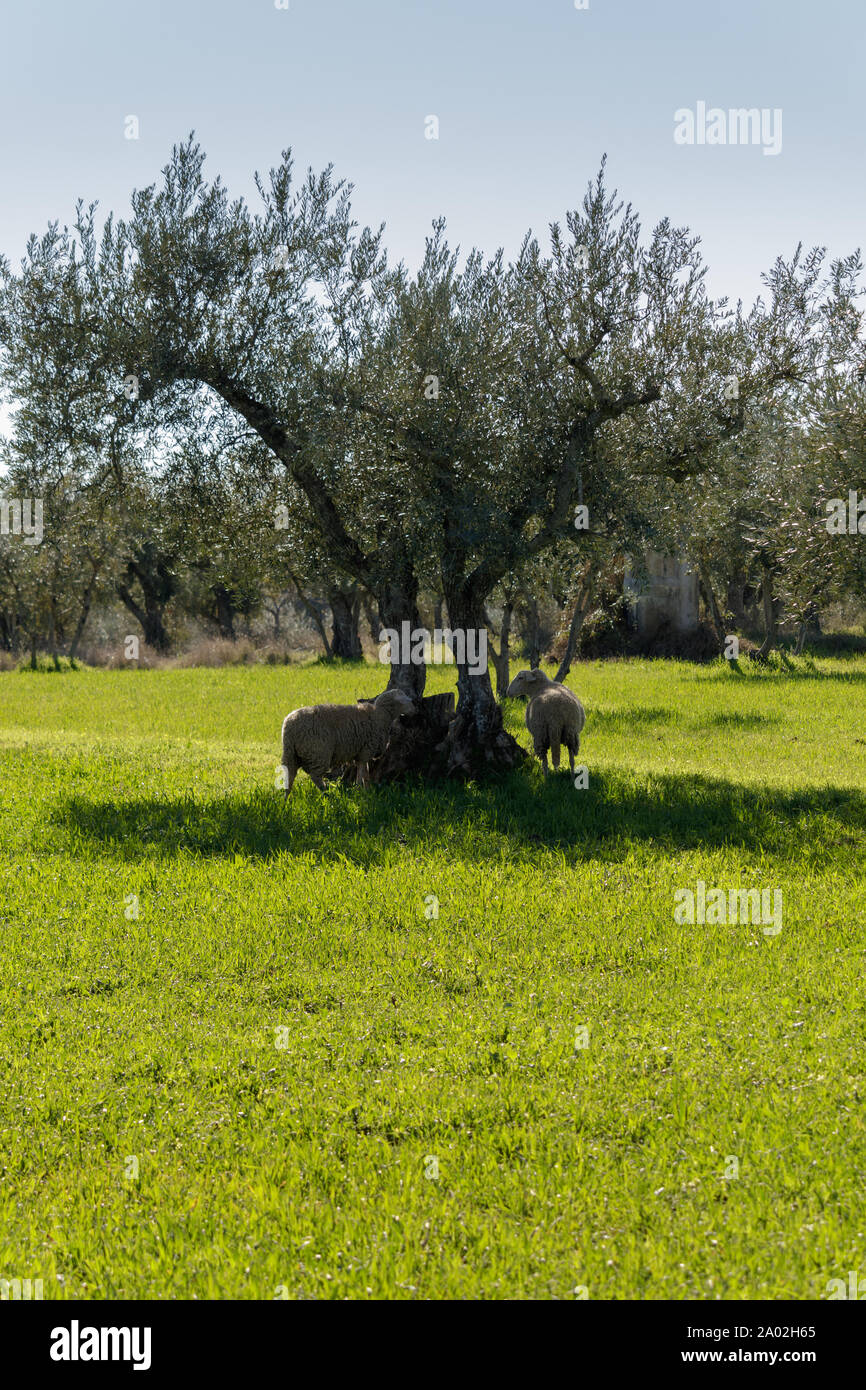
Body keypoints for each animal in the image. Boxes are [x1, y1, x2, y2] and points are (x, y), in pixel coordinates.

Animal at [280, 688, 415, 799]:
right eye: (406, 701)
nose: (415, 710)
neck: (381, 716)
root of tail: (290, 725)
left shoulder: (361, 754)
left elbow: (364, 774)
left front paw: (366, 790)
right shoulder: (366, 751)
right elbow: (362, 774)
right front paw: (361, 791)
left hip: (290, 753)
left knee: (289, 776)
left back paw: (286, 801)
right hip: (318, 752)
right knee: (315, 776)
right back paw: (327, 793)